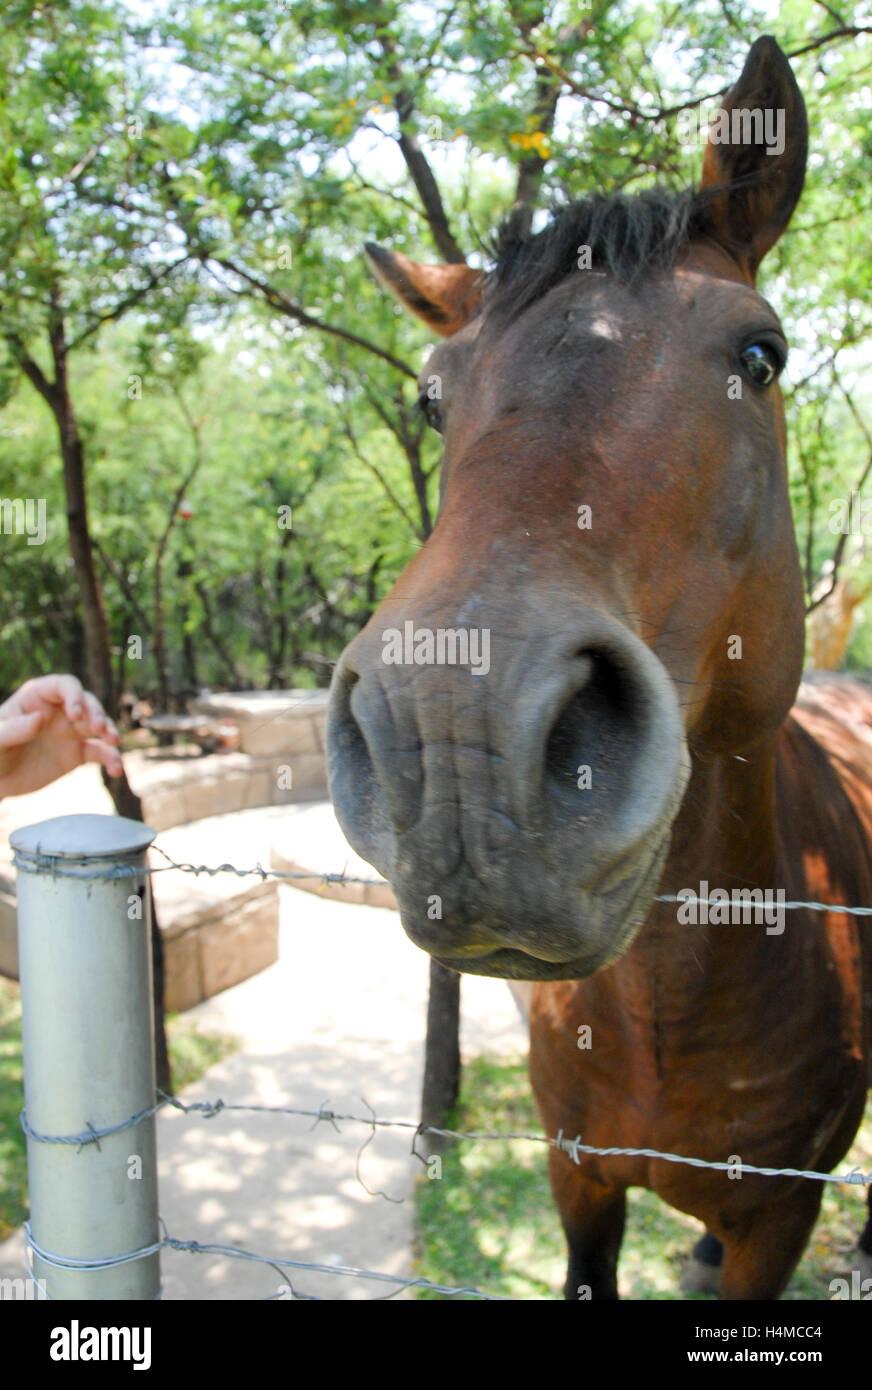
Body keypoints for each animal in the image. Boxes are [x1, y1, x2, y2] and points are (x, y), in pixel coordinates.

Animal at [326, 36, 872, 1299]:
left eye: (761, 353)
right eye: (430, 396)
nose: (457, 737)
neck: (666, 998)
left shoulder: (784, 1215)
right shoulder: (574, 1177)